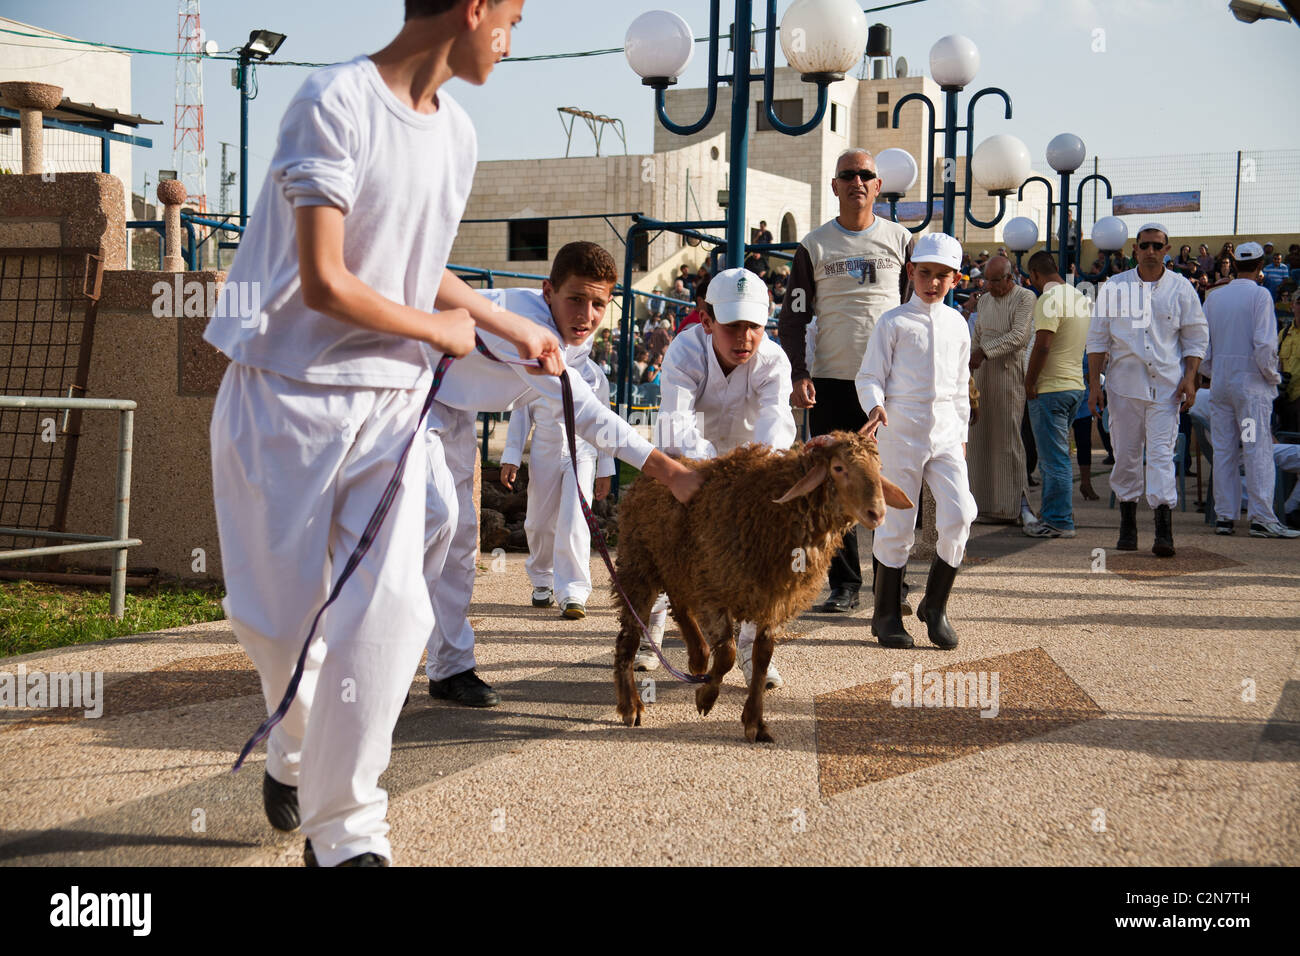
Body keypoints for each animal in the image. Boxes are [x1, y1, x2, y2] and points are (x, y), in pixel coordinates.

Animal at [612, 430, 914, 743]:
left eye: (878, 469)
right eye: (838, 468)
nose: (877, 513)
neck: (773, 513)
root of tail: (639, 481)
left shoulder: (774, 599)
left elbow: (762, 656)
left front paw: (754, 721)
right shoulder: (714, 592)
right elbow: (728, 654)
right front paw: (706, 697)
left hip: (676, 564)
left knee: (680, 606)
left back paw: (697, 657)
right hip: (640, 566)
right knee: (630, 636)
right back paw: (631, 705)